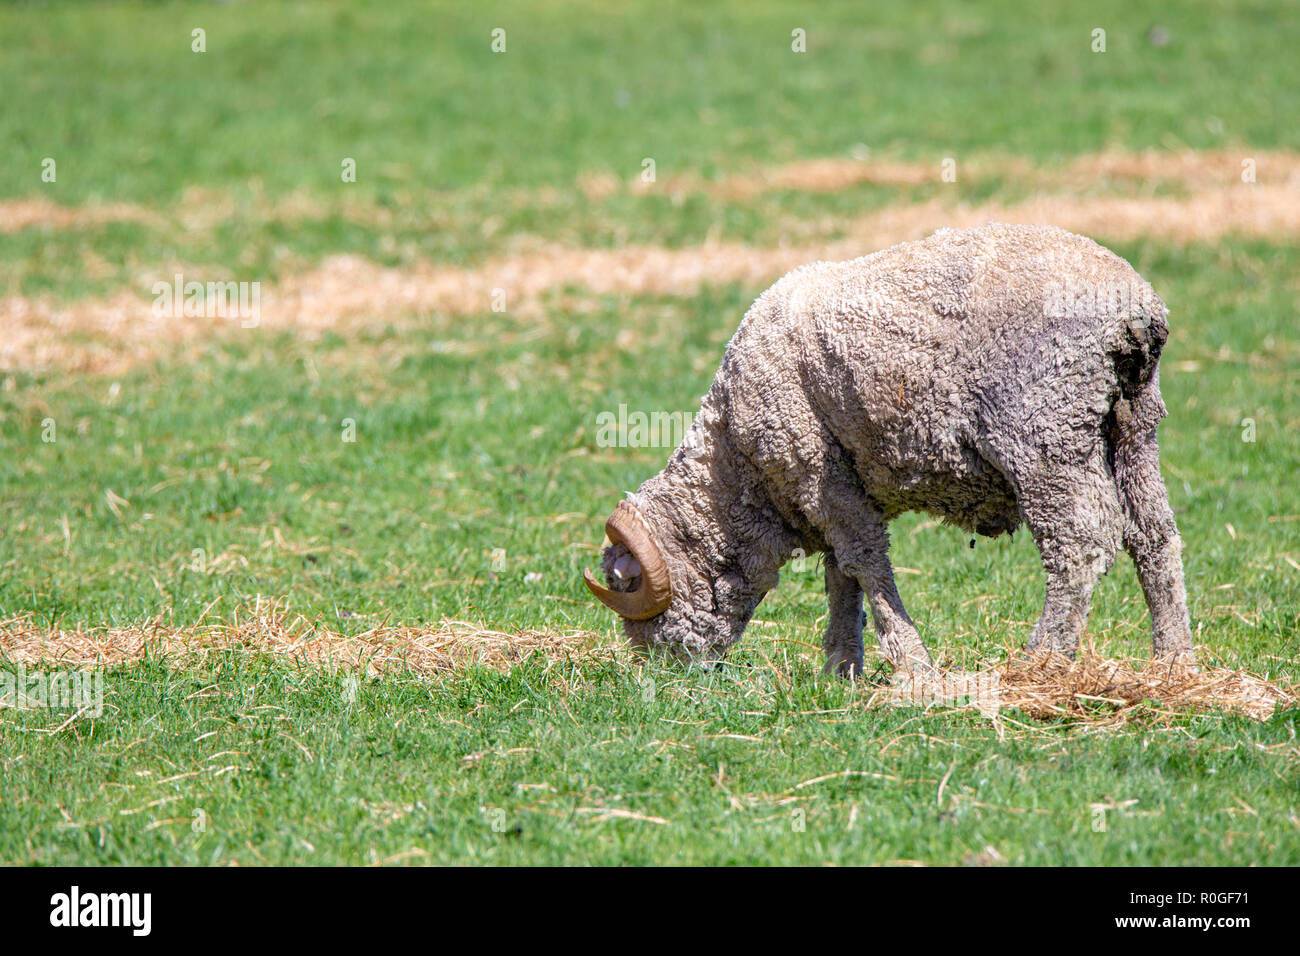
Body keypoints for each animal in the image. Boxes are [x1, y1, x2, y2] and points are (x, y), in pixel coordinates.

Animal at [584, 223, 1194, 675]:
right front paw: (840, 668)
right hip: (1132, 425)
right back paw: (1174, 665)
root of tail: (1136, 308)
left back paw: (1041, 662)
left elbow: (864, 564)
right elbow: (841, 575)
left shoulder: (817, 470)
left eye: (629, 592)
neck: (736, 470)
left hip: (1043, 429)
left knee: (1081, 544)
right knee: (1154, 536)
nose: (663, 675)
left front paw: (910, 667)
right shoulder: (839, 485)